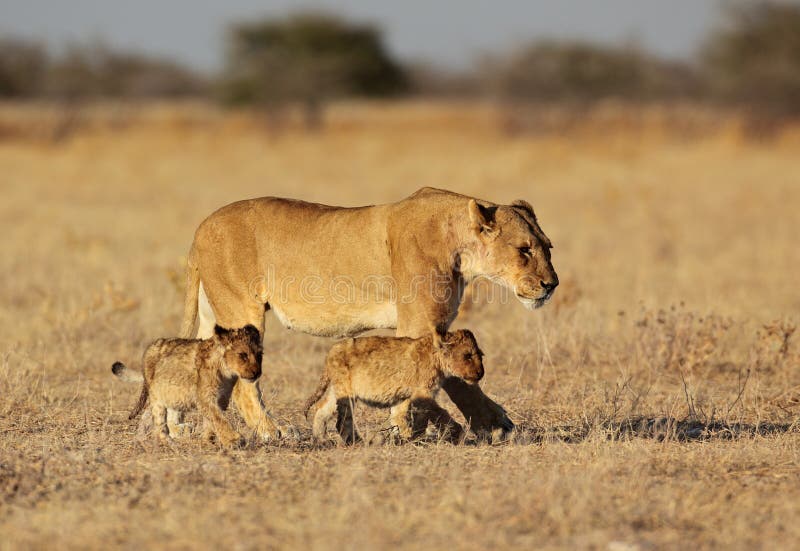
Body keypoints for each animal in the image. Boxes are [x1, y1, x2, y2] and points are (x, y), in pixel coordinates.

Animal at [111, 324, 263, 448]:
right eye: (243, 355)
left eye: (259, 355)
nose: (257, 373)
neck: (226, 371)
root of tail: (149, 348)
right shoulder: (205, 398)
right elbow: (218, 419)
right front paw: (234, 440)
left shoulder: (221, 399)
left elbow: (212, 421)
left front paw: (207, 440)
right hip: (157, 398)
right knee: (159, 427)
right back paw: (170, 444)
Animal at [305, 329, 484, 444]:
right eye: (468, 355)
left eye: (480, 355)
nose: (480, 373)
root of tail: (331, 351)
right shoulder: (423, 393)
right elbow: (438, 413)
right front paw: (454, 432)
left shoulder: (405, 396)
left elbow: (401, 416)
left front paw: (406, 437)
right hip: (346, 392)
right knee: (343, 421)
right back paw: (358, 442)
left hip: (338, 389)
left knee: (322, 409)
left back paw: (321, 439)